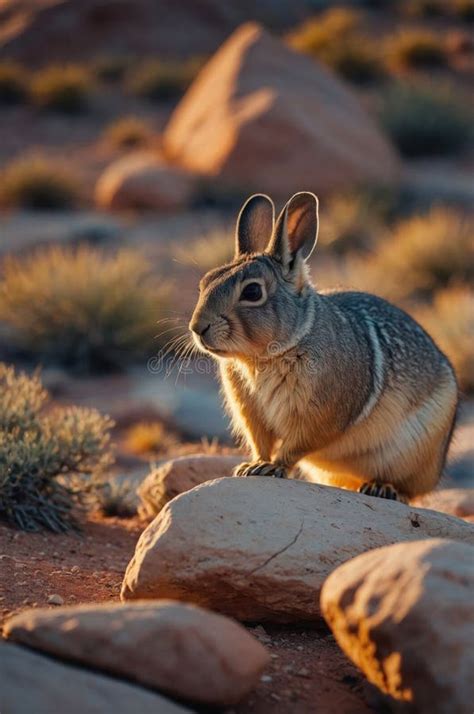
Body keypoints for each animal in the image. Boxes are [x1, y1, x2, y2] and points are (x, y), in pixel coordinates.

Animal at [189, 192, 459, 502]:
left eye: (253, 291)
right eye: (205, 282)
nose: (197, 328)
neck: (266, 357)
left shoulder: (319, 416)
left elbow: (294, 446)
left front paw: (271, 468)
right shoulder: (250, 411)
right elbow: (261, 443)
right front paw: (253, 465)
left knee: (408, 490)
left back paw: (381, 487)